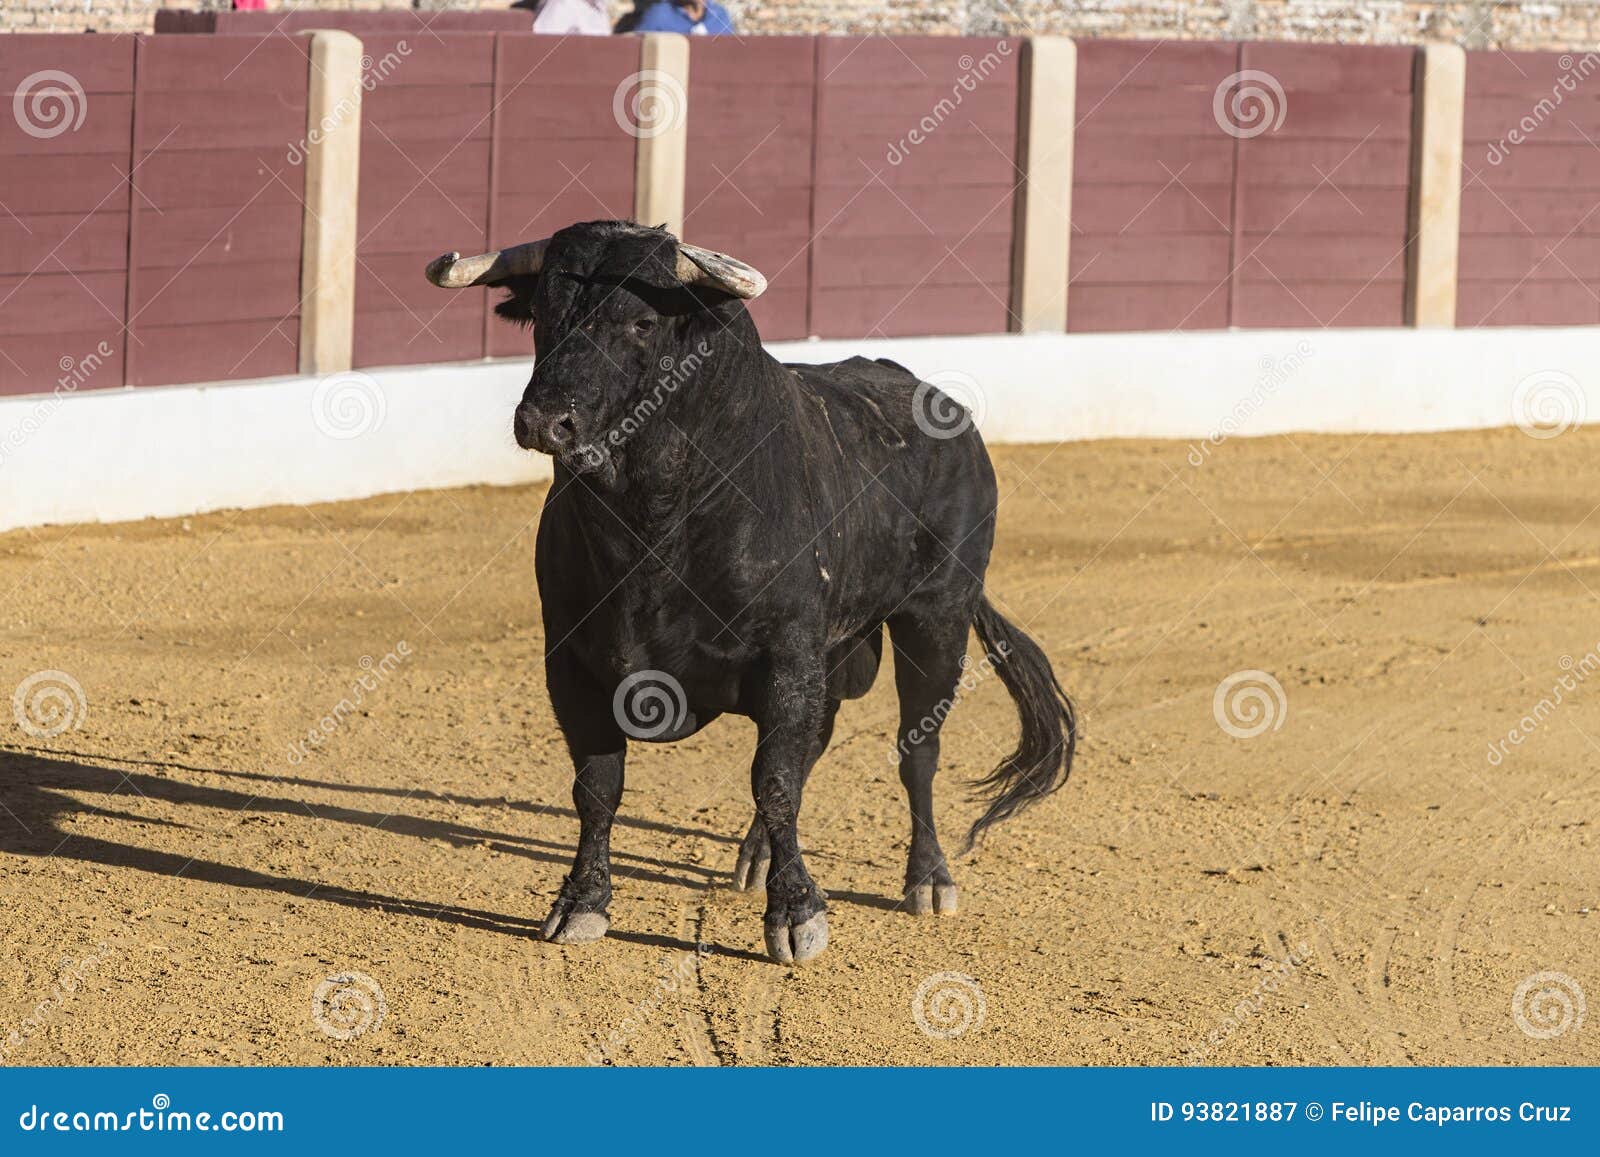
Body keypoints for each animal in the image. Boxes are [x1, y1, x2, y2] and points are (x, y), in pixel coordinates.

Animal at [425, 220, 1076, 964]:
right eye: (542, 314)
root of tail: (939, 405)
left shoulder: (787, 656)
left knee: (917, 752)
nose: (543, 421)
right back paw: (758, 857)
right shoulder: (570, 660)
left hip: (935, 618)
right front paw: (581, 902)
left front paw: (797, 916)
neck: (650, 522)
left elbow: (776, 779)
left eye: (642, 320)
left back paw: (928, 880)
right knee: (818, 739)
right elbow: (597, 785)